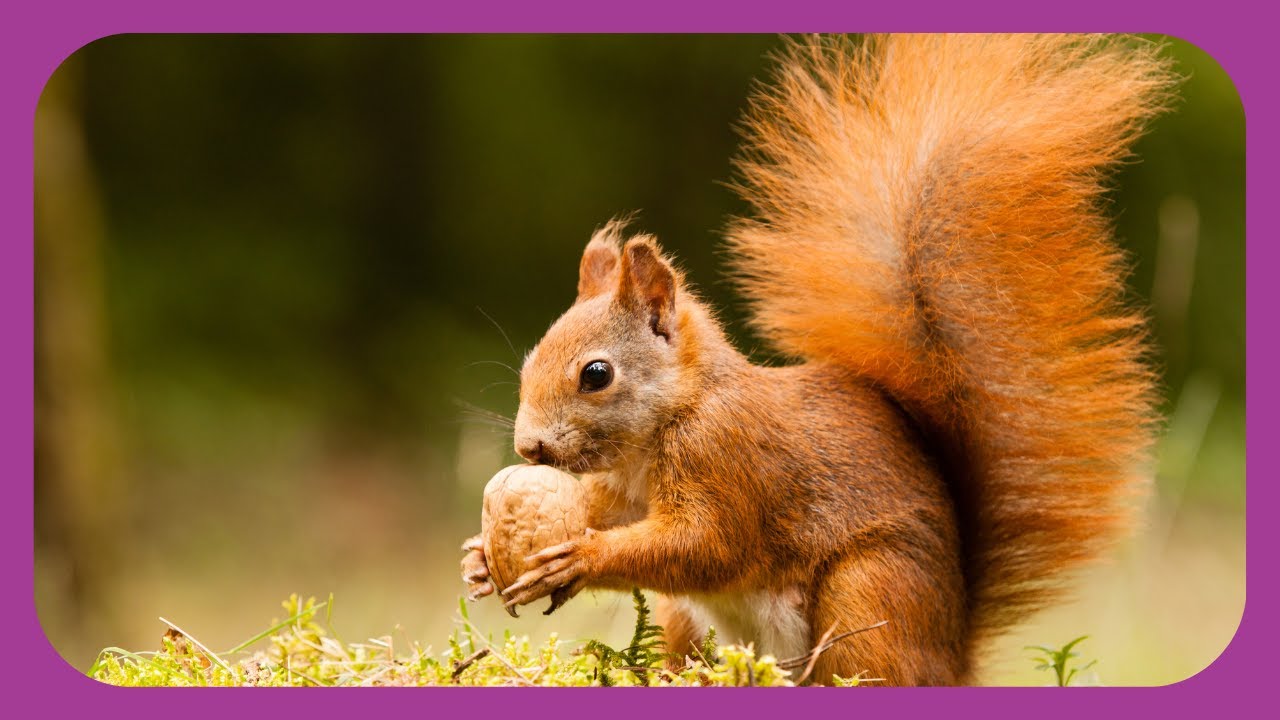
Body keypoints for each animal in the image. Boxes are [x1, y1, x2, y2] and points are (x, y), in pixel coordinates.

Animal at [459, 34, 1177, 686]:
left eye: (596, 375)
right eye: (530, 361)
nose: (527, 448)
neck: (666, 422)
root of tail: (953, 653)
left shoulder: (728, 458)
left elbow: (704, 545)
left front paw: (579, 556)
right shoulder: (621, 490)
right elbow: (611, 515)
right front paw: (479, 558)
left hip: (870, 592)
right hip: (689, 620)